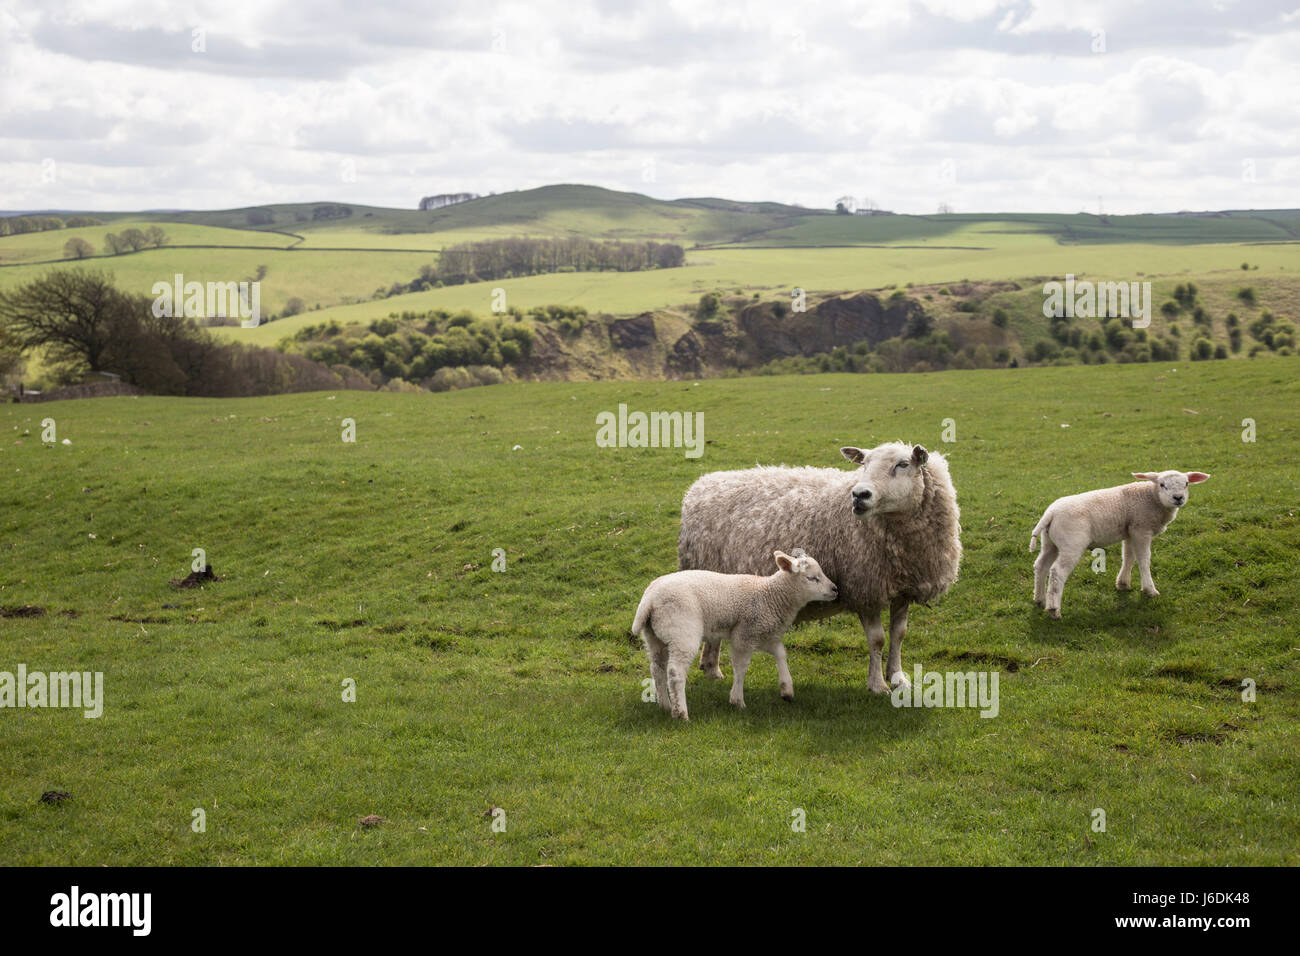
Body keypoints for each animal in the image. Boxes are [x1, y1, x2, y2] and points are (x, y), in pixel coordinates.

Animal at [631, 550, 838, 720]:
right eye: (812, 578)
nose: (835, 589)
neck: (771, 596)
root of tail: (649, 600)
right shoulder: (745, 633)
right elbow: (741, 666)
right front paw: (737, 700)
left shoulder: (763, 632)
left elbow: (781, 653)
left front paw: (787, 689)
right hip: (682, 630)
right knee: (675, 672)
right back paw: (681, 712)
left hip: (655, 636)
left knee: (657, 668)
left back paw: (665, 705)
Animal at [678, 442, 962, 696]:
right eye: (864, 464)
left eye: (903, 464)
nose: (859, 495)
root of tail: (702, 484)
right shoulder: (864, 587)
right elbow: (877, 639)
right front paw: (878, 684)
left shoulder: (903, 589)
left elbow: (899, 634)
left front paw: (898, 677)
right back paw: (710, 669)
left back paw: (710, 668)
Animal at [1030, 470, 1210, 618]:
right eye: (1162, 485)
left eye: (1186, 484)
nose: (1178, 498)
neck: (1152, 498)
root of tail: (1050, 514)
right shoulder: (1141, 529)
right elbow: (1144, 560)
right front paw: (1149, 590)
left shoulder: (1130, 531)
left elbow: (1129, 557)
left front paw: (1123, 583)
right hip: (1071, 543)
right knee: (1057, 572)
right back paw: (1053, 609)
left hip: (1050, 542)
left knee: (1041, 566)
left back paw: (1040, 599)